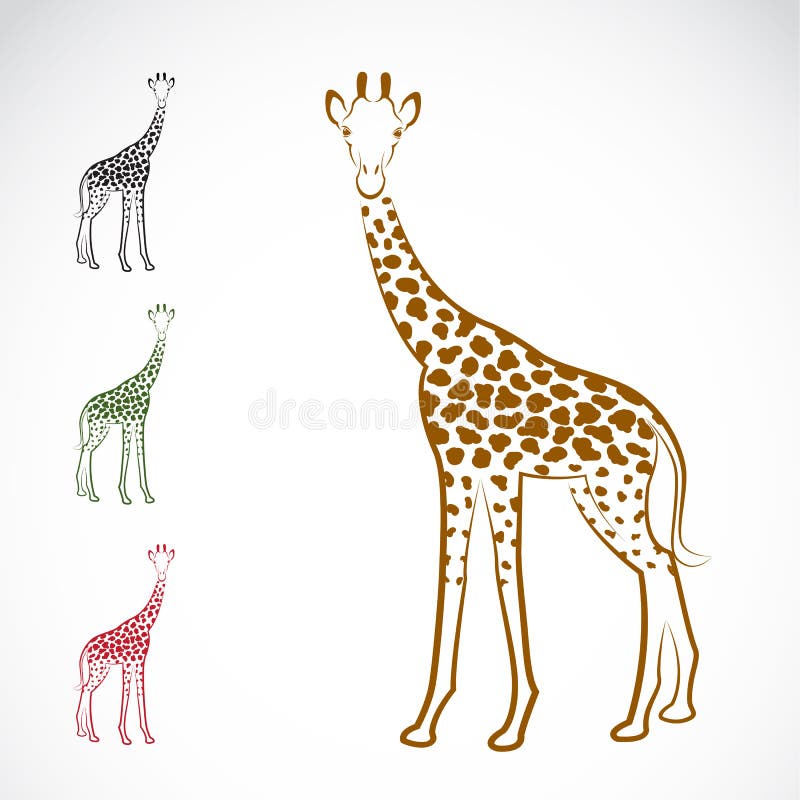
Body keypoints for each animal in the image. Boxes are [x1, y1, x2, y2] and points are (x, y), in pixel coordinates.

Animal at [75, 73, 175, 271]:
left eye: (167, 89)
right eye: (155, 90)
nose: (162, 103)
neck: (146, 150)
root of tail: (87, 174)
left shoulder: (139, 188)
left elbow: (139, 219)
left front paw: (147, 263)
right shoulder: (129, 189)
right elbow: (127, 220)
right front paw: (125, 263)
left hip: (102, 196)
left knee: (85, 216)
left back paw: (84, 259)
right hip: (98, 195)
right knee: (87, 217)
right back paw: (91, 261)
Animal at [75, 305, 174, 504]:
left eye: (167, 321)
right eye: (155, 322)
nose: (161, 335)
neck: (146, 383)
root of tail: (87, 407)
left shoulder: (138, 421)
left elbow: (138, 452)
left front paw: (146, 495)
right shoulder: (130, 421)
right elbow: (127, 453)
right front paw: (125, 496)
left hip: (101, 428)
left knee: (85, 449)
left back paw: (84, 492)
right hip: (98, 428)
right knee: (87, 450)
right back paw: (91, 494)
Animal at [75, 545, 175, 744]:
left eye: (167, 561)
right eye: (155, 562)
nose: (162, 576)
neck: (147, 624)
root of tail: (87, 647)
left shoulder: (138, 661)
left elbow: (139, 693)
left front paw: (147, 736)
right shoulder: (130, 662)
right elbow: (127, 694)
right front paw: (125, 736)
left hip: (100, 669)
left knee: (85, 690)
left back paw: (84, 732)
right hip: (98, 669)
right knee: (87, 690)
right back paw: (91, 734)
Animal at [325, 73, 707, 751]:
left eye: (394, 133)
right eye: (347, 131)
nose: (370, 179)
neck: (430, 340)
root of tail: (658, 422)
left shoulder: (485, 467)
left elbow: (497, 576)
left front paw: (506, 724)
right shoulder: (468, 467)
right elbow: (468, 574)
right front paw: (434, 720)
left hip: (615, 492)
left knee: (657, 564)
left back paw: (646, 714)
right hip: (595, 495)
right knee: (657, 565)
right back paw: (666, 708)